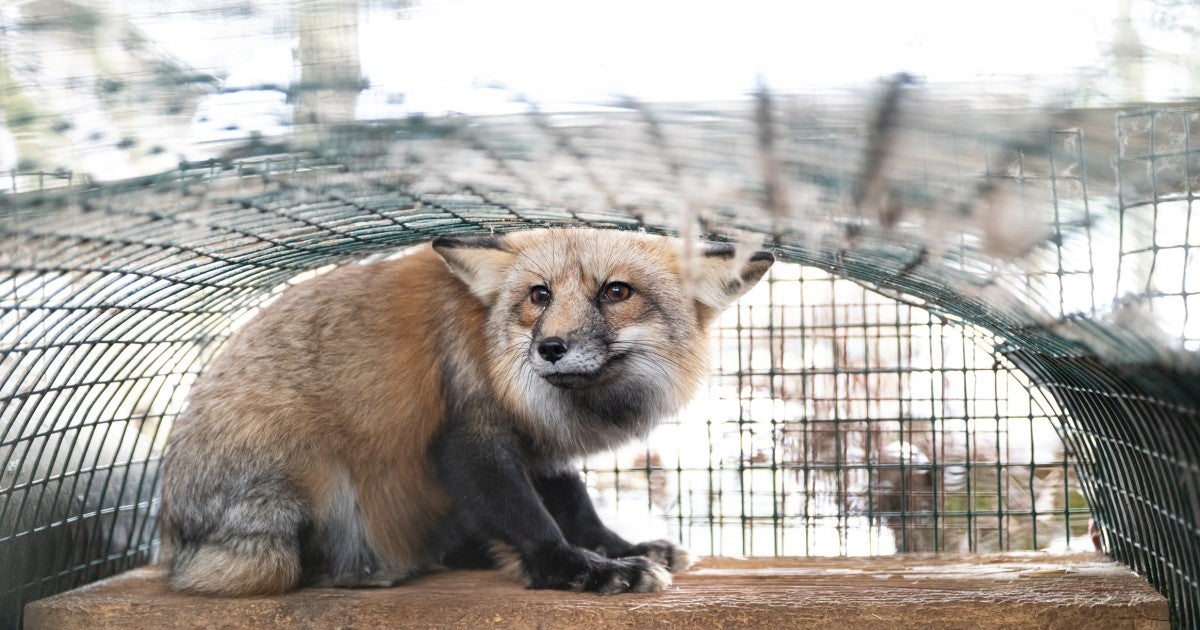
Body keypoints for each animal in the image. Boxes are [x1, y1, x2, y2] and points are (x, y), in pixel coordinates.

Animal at [159, 228, 773, 596]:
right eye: (539, 295)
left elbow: (577, 508)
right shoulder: (468, 436)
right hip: (299, 491)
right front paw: (578, 569)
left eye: (616, 292)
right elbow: (532, 519)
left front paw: (622, 549)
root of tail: (173, 547)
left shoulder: (538, 444)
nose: (550, 348)